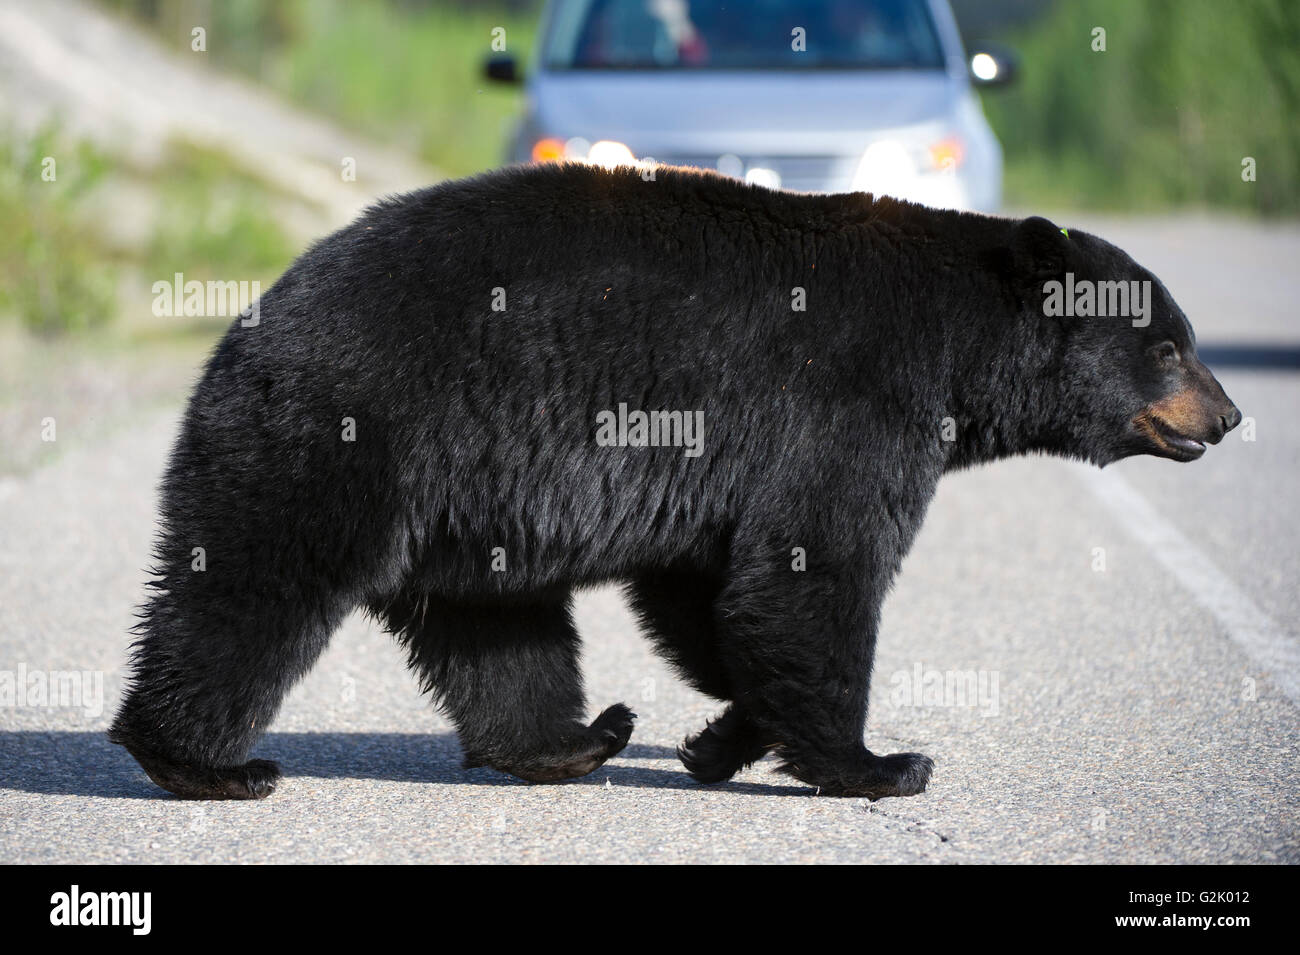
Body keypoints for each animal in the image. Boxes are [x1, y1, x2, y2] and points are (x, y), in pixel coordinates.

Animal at [108, 161, 1240, 800]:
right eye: (1168, 349)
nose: (1228, 415)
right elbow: (810, 573)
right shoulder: (848, 404)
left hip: (460, 501)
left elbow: (714, 591)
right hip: (344, 435)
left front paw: (720, 738)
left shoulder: (734, 466)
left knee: (497, 629)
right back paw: (201, 760)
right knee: (254, 586)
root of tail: (245, 328)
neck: (956, 346)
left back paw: (572, 740)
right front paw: (880, 763)